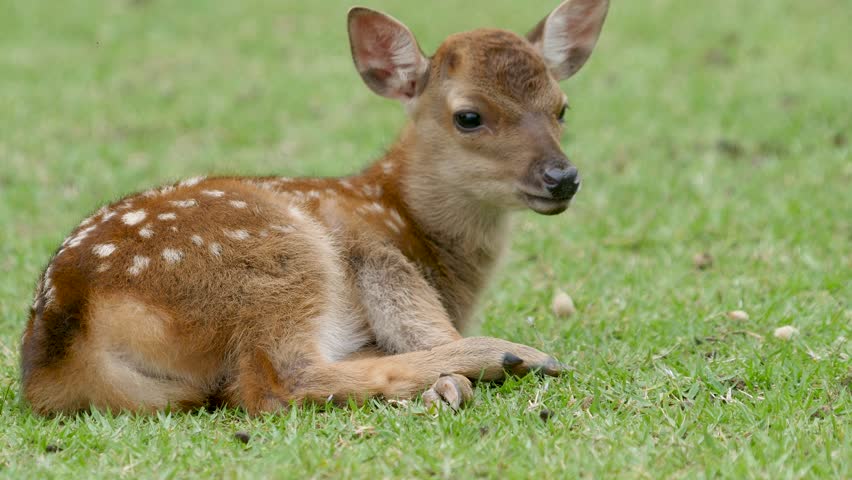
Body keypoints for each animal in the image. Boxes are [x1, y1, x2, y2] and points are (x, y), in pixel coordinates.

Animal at [20, 0, 609, 415]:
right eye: (469, 116)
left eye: (562, 108)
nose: (562, 178)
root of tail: (68, 326)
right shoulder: (373, 249)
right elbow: (413, 314)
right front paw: (456, 378)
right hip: (274, 260)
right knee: (278, 382)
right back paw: (507, 356)